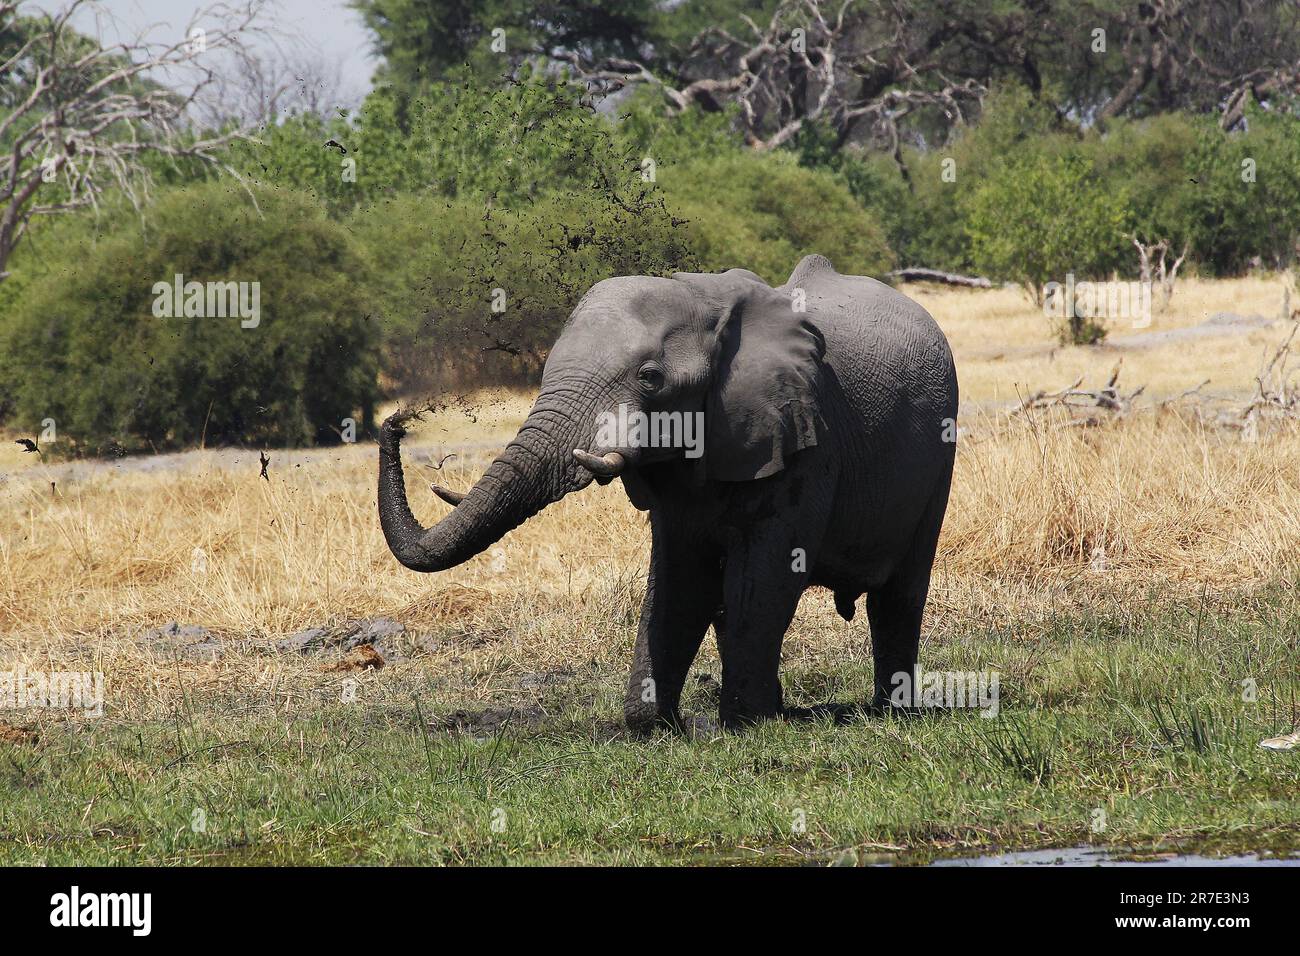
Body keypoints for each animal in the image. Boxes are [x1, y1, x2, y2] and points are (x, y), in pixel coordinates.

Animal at [378, 254, 958, 732]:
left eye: (650, 378)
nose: (396, 424)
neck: (709, 299)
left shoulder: (806, 437)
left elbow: (765, 574)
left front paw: (746, 723)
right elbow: (680, 576)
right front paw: (655, 726)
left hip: (939, 453)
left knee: (900, 591)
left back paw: (889, 712)